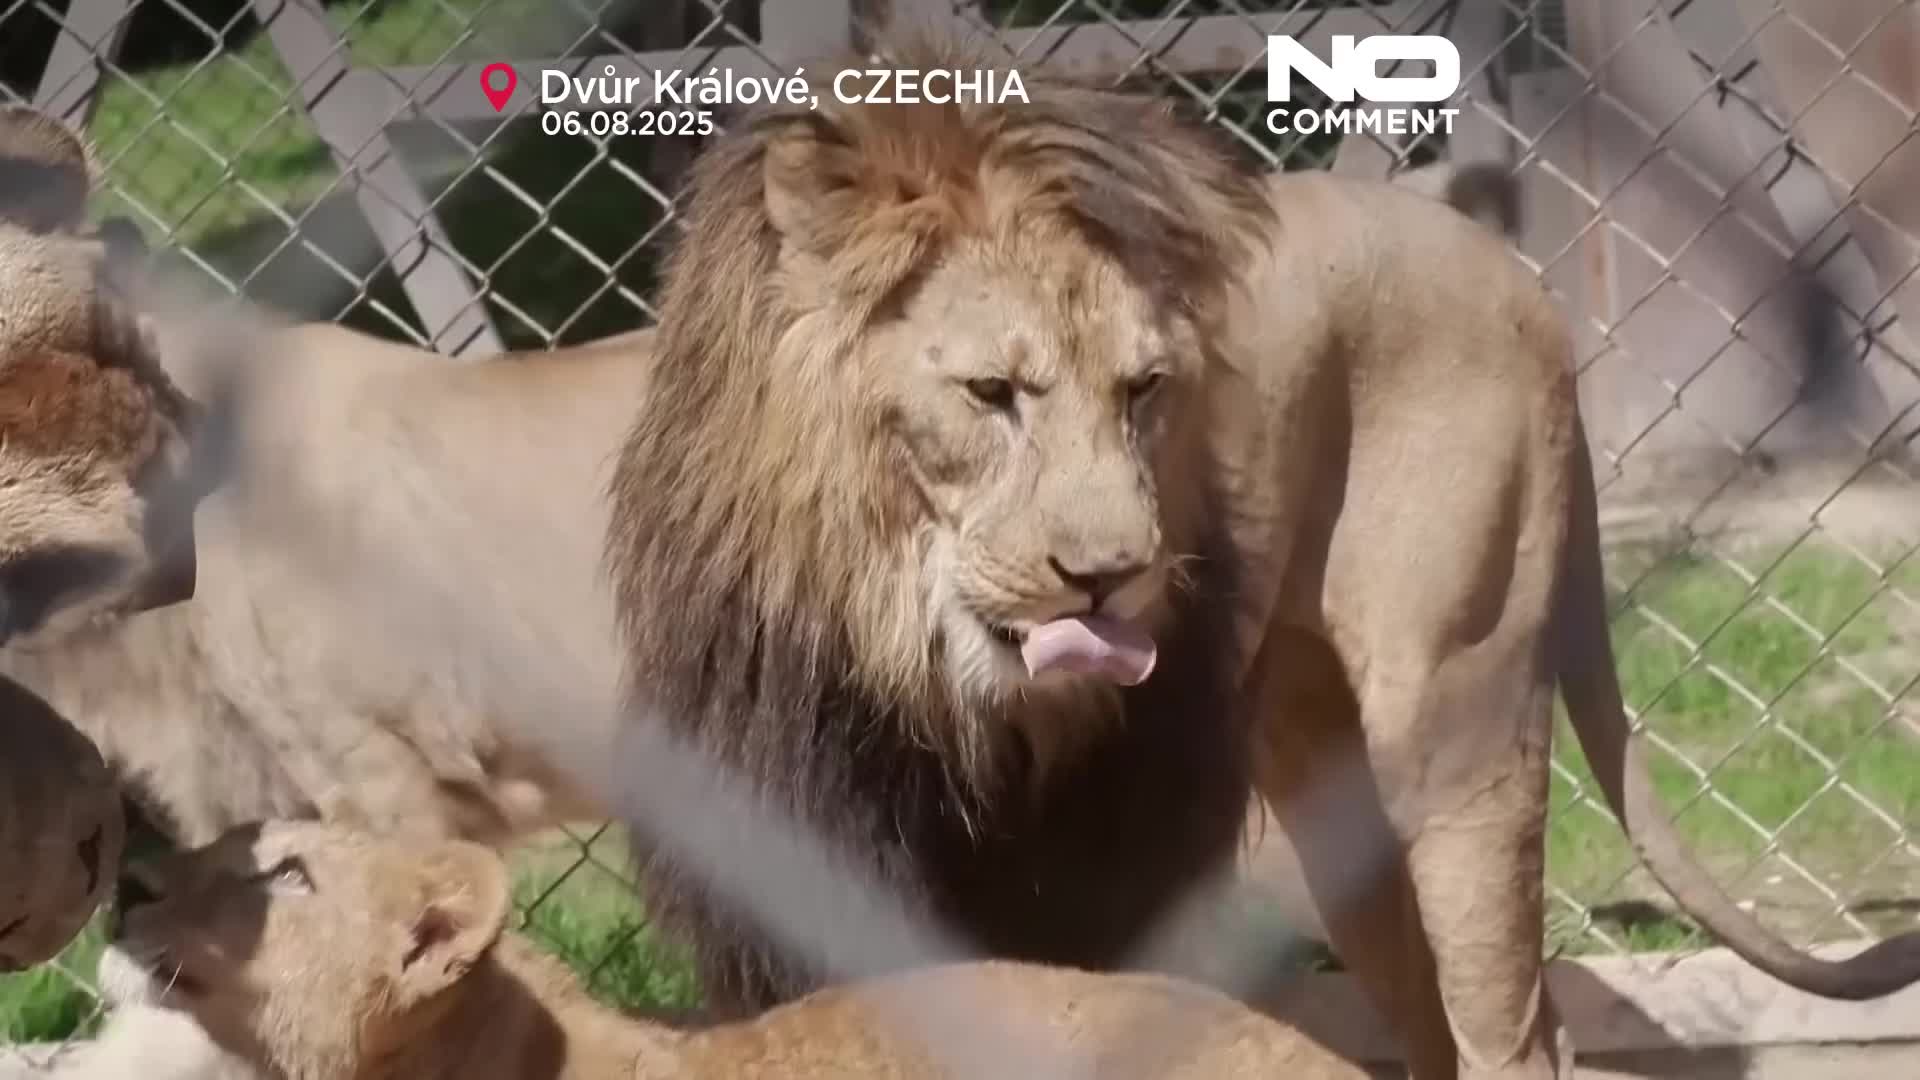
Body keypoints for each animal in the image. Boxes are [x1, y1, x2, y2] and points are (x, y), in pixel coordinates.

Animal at [587, 37, 1920, 1080]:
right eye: (990, 395)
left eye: (1145, 390)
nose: (1116, 573)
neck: (931, 686)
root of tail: (1501, 262)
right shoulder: (784, 863)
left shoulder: (1102, 880)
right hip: (1332, 785)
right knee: (1425, 1025)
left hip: (1463, 710)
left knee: (1513, 1031)